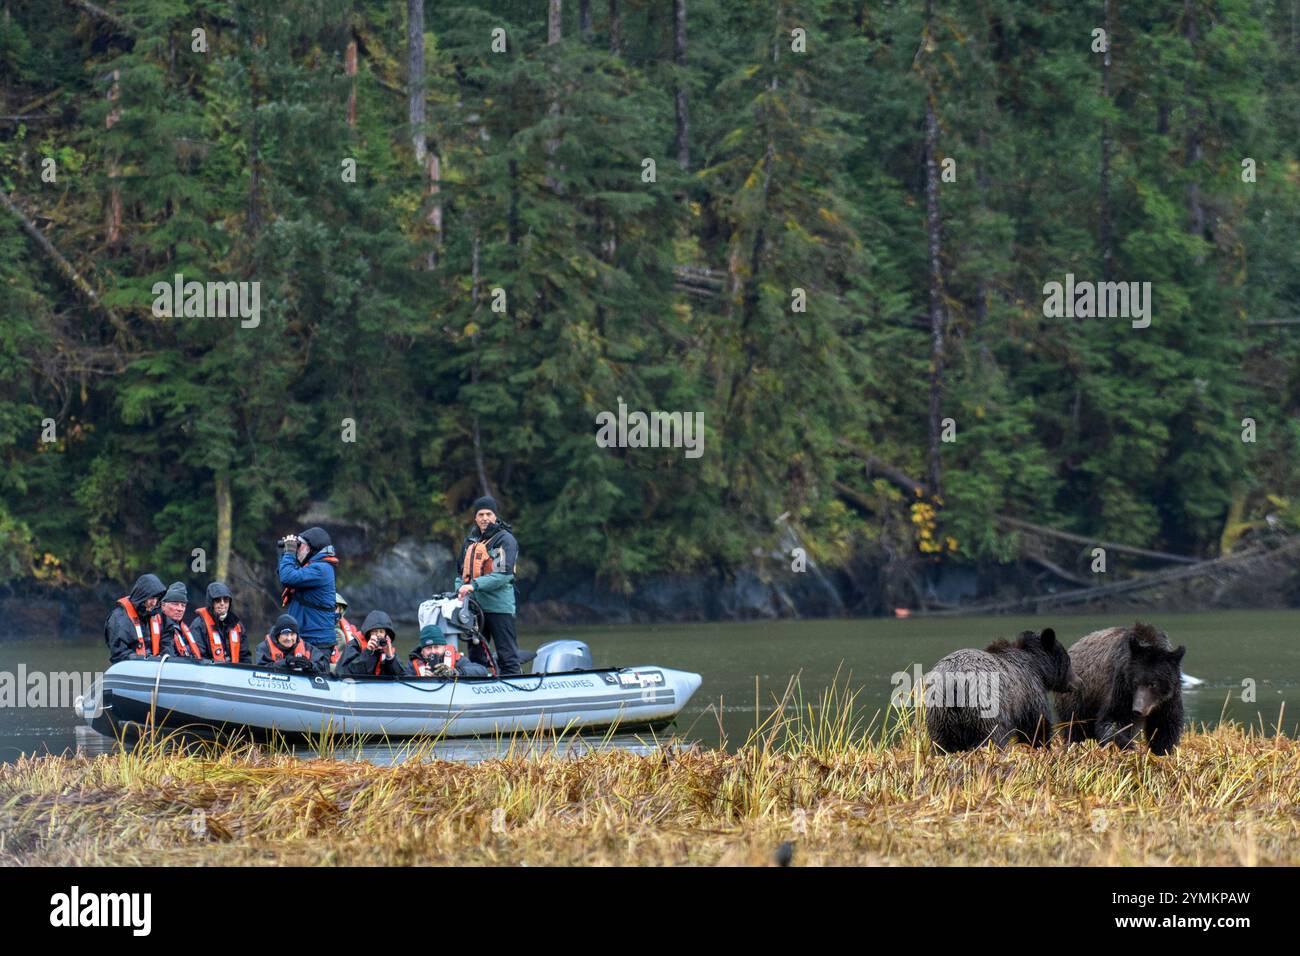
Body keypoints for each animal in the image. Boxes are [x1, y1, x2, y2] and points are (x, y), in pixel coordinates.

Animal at [923, 627, 1079, 752]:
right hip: (985, 711)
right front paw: (1041, 745)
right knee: (991, 739)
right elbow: (1036, 725)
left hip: (941, 717)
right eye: (1068, 661)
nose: (1078, 681)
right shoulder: (1029, 693)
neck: (1038, 667)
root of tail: (954, 682)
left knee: (942, 744)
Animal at [1055, 622, 1185, 755]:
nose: (1138, 710)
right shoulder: (1120, 685)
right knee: (1075, 729)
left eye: (1153, 684)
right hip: (1079, 702)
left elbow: (1165, 726)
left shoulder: (1168, 698)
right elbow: (1113, 720)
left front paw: (1161, 751)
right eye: (1135, 682)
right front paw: (1129, 747)